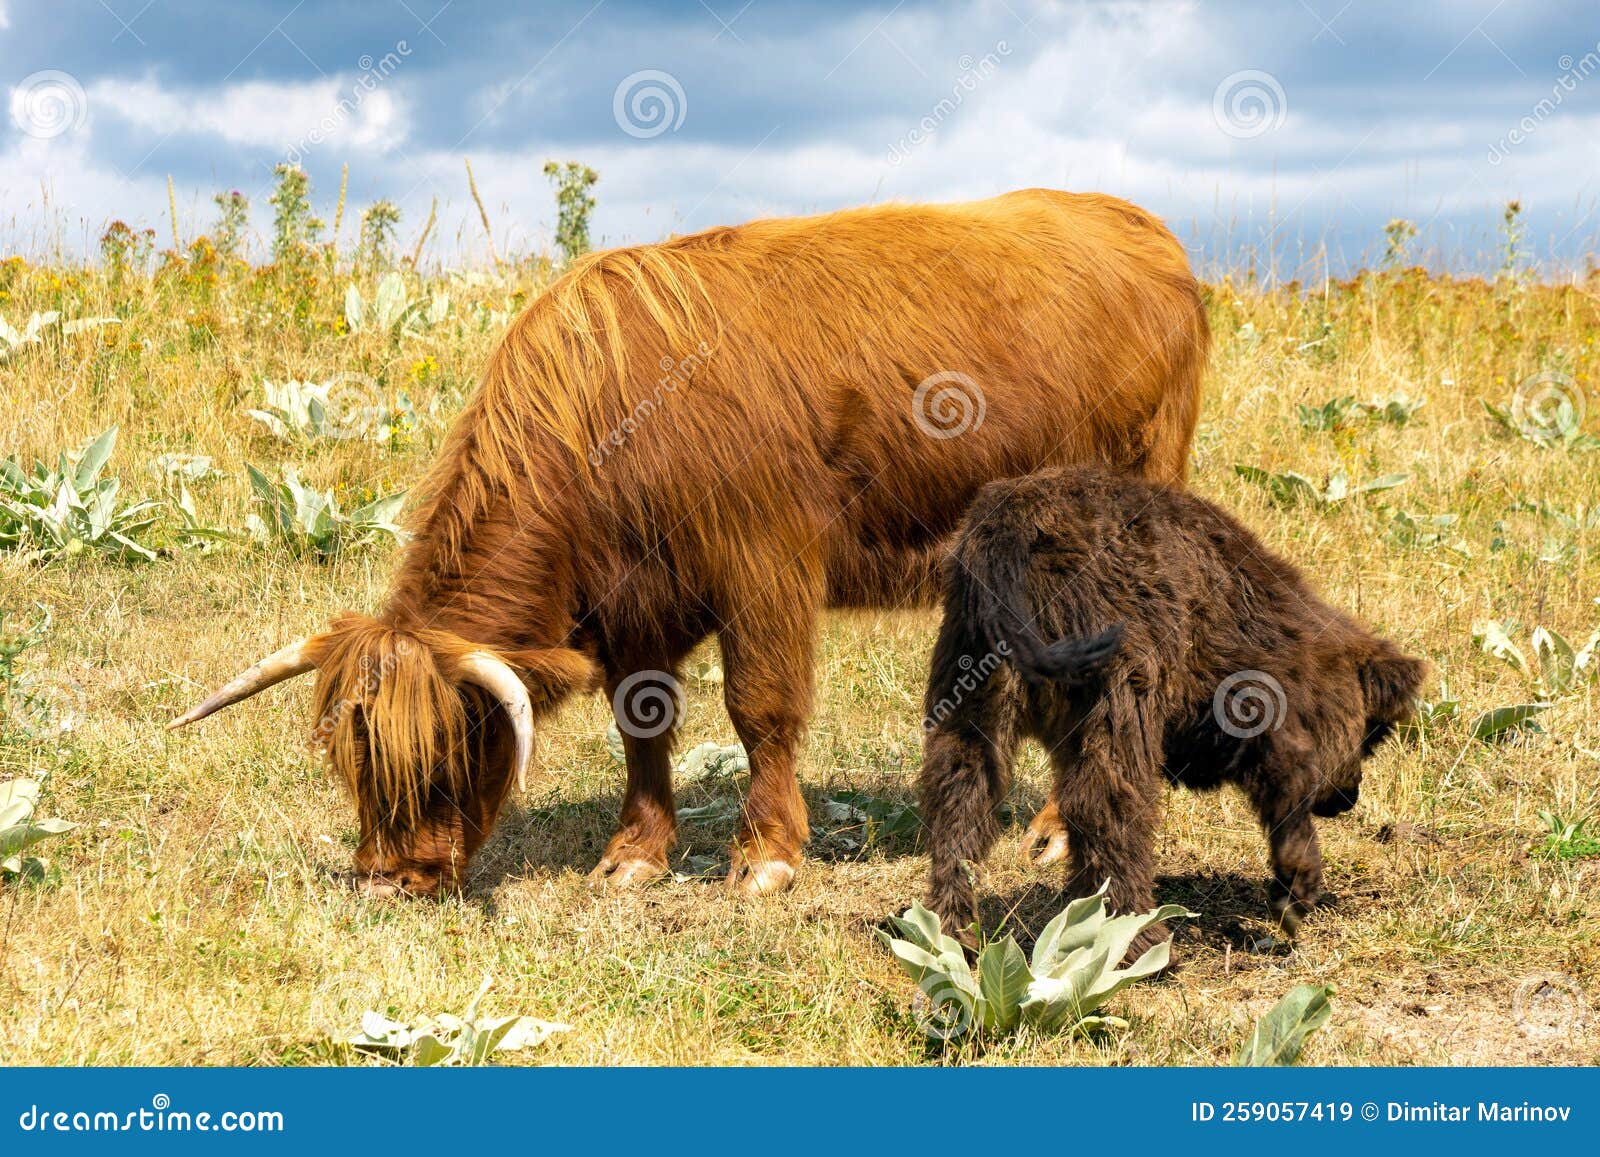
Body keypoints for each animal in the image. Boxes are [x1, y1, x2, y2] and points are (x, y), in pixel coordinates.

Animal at [167, 189, 1210, 899]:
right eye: (351, 757)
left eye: (450, 747)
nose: (389, 877)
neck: (611, 418)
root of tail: (1136, 220)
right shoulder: (635, 599)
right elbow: (644, 719)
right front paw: (634, 854)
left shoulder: (766, 565)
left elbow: (761, 709)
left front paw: (767, 856)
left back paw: (1062, 832)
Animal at [919, 467, 1424, 948]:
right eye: (1371, 736)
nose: (1347, 799)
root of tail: (1012, 526)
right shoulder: (1249, 704)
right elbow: (1288, 781)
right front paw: (1295, 893)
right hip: (1116, 704)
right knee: (1105, 811)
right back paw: (1141, 940)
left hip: (969, 695)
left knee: (958, 800)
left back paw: (954, 934)